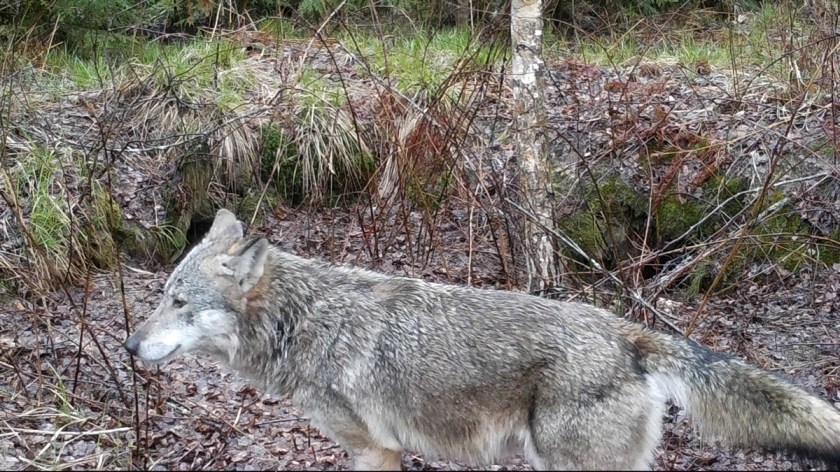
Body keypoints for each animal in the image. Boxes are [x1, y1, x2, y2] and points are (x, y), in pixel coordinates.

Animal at [124, 208, 840, 471]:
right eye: (162, 296)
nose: (129, 348)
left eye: (179, 303)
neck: (302, 321)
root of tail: (627, 331)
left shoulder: (375, 450)